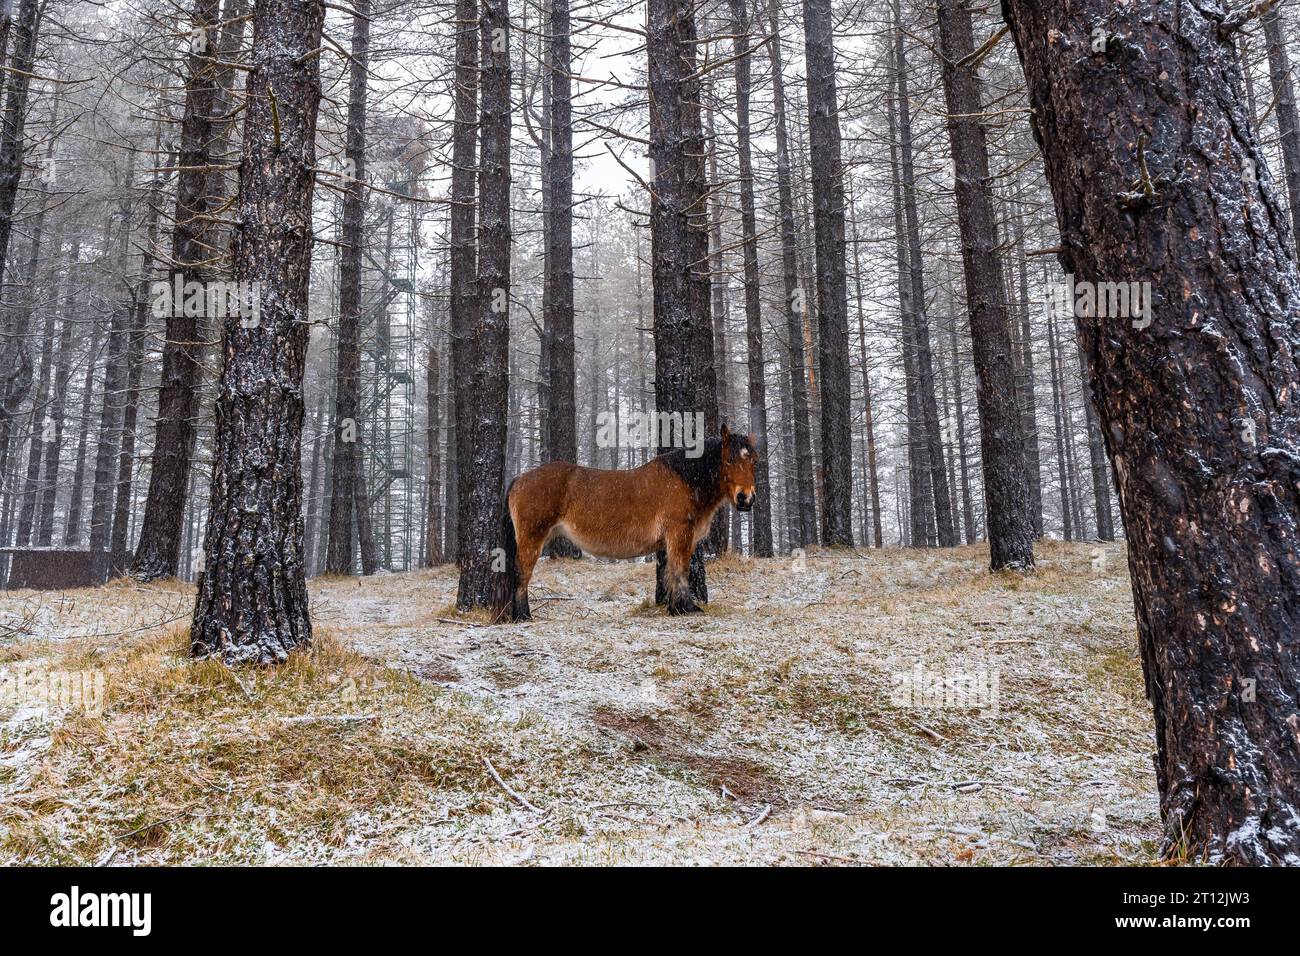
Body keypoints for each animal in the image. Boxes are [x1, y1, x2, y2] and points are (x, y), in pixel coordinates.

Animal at [491, 425, 759, 623]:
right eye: (728, 460)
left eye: (754, 461)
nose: (745, 498)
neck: (685, 480)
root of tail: (520, 478)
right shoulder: (679, 534)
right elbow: (680, 570)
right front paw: (685, 608)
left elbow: (671, 572)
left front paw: (676, 607)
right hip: (531, 538)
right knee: (522, 573)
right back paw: (523, 616)